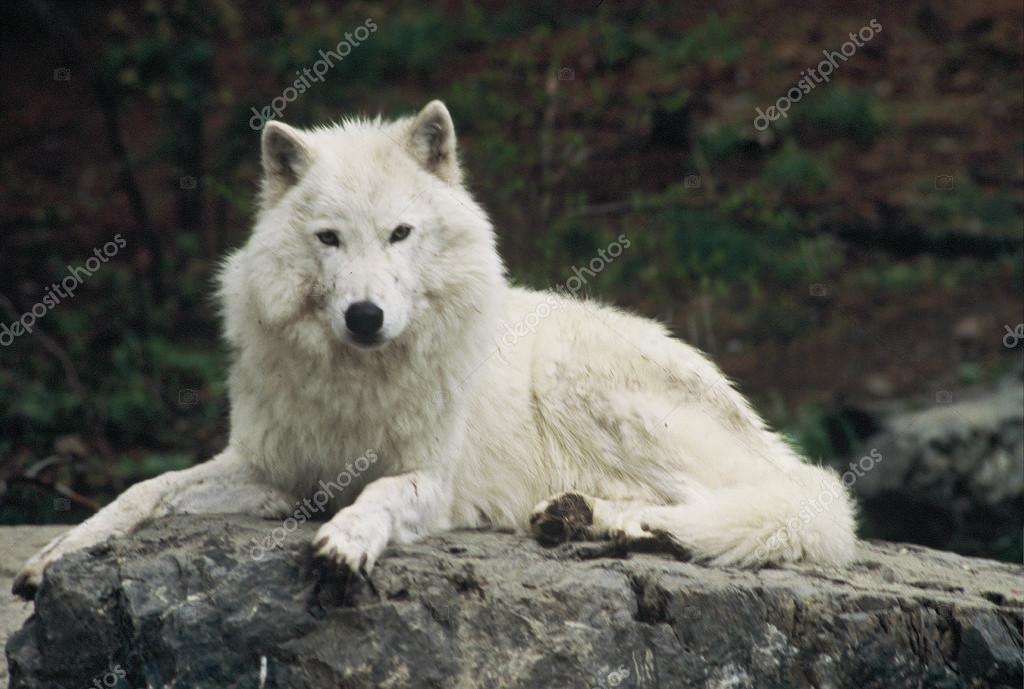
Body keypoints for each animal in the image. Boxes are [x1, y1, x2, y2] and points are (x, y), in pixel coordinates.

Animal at [14, 101, 857, 598]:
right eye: (330, 238)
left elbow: (381, 494)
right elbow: (144, 490)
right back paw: (578, 517)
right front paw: (59, 554)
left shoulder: (432, 478)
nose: (364, 315)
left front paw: (346, 540)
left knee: (744, 503)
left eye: (399, 233)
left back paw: (612, 523)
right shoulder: (274, 472)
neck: (357, 381)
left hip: (580, 385)